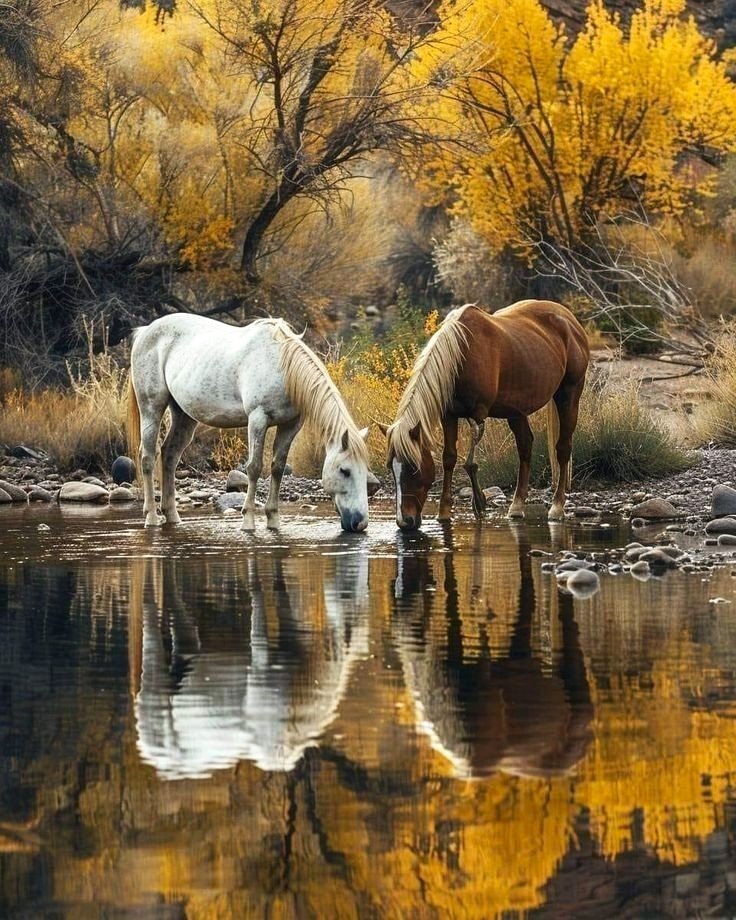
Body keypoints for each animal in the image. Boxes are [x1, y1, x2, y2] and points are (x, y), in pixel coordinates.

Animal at [127, 313, 376, 532]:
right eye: (344, 471)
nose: (360, 524)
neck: (282, 367)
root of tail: (145, 331)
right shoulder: (258, 419)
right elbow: (254, 468)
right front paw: (248, 522)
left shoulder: (291, 425)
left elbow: (277, 468)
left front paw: (274, 520)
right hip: (151, 408)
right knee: (148, 457)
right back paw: (151, 517)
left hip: (184, 415)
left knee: (169, 455)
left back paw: (172, 516)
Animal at [386, 300, 589, 530]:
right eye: (391, 468)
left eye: (413, 468)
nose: (404, 521)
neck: (461, 354)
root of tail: (569, 320)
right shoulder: (449, 415)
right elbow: (449, 458)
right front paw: (444, 511)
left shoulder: (478, 414)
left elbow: (470, 463)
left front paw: (479, 504)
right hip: (516, 411)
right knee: (525, 446)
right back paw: (516, 507)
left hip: (569, 393)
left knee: (563, 449)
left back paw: (557, 507)